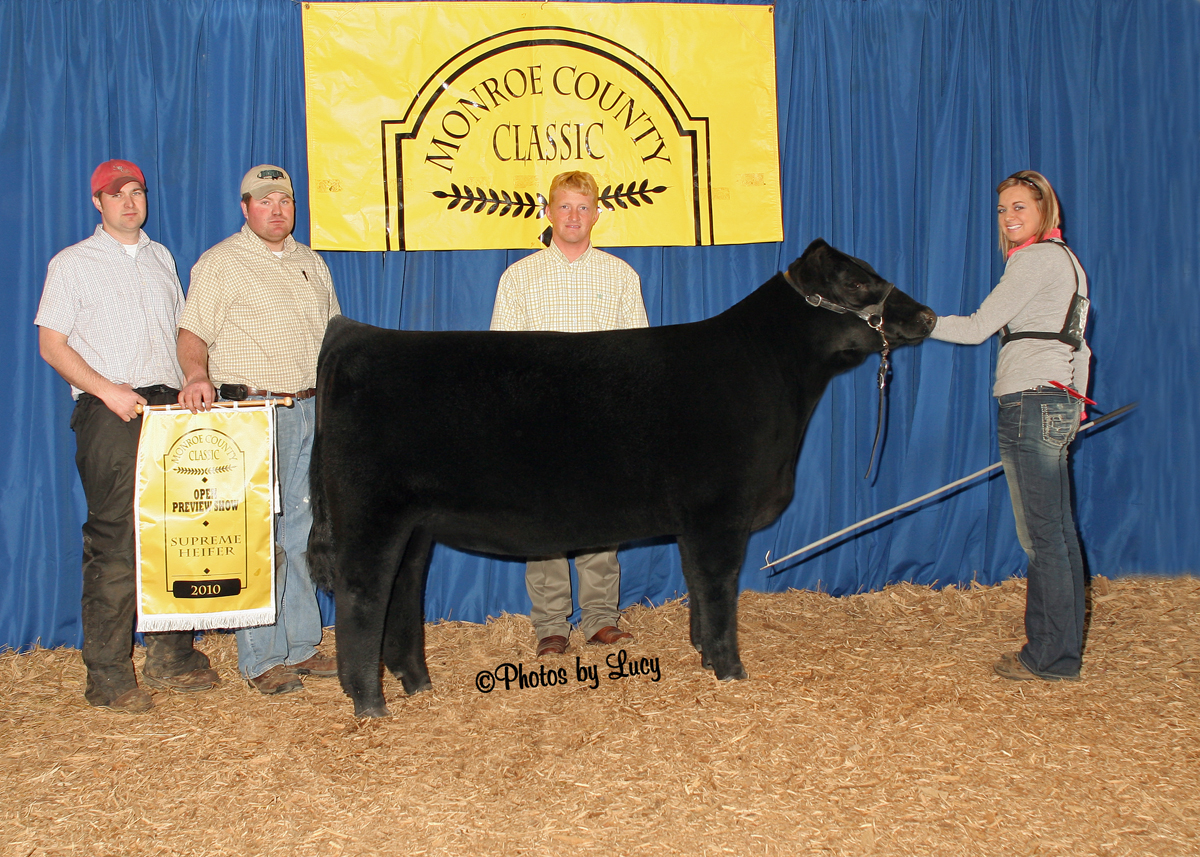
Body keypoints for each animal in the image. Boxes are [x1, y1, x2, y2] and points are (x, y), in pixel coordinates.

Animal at [308, 238, 935, 717]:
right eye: (856, 282)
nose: (928, 316)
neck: (769, 376)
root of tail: (350, 334)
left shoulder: (694, 523)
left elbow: (698, 589)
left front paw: (703, 656)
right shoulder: (720, 514)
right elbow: (719, 590)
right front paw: (731, 671)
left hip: (415, 525)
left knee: (402, 594)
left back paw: (418, 684)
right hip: (370, 516)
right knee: (363, 597)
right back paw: (370, 705)